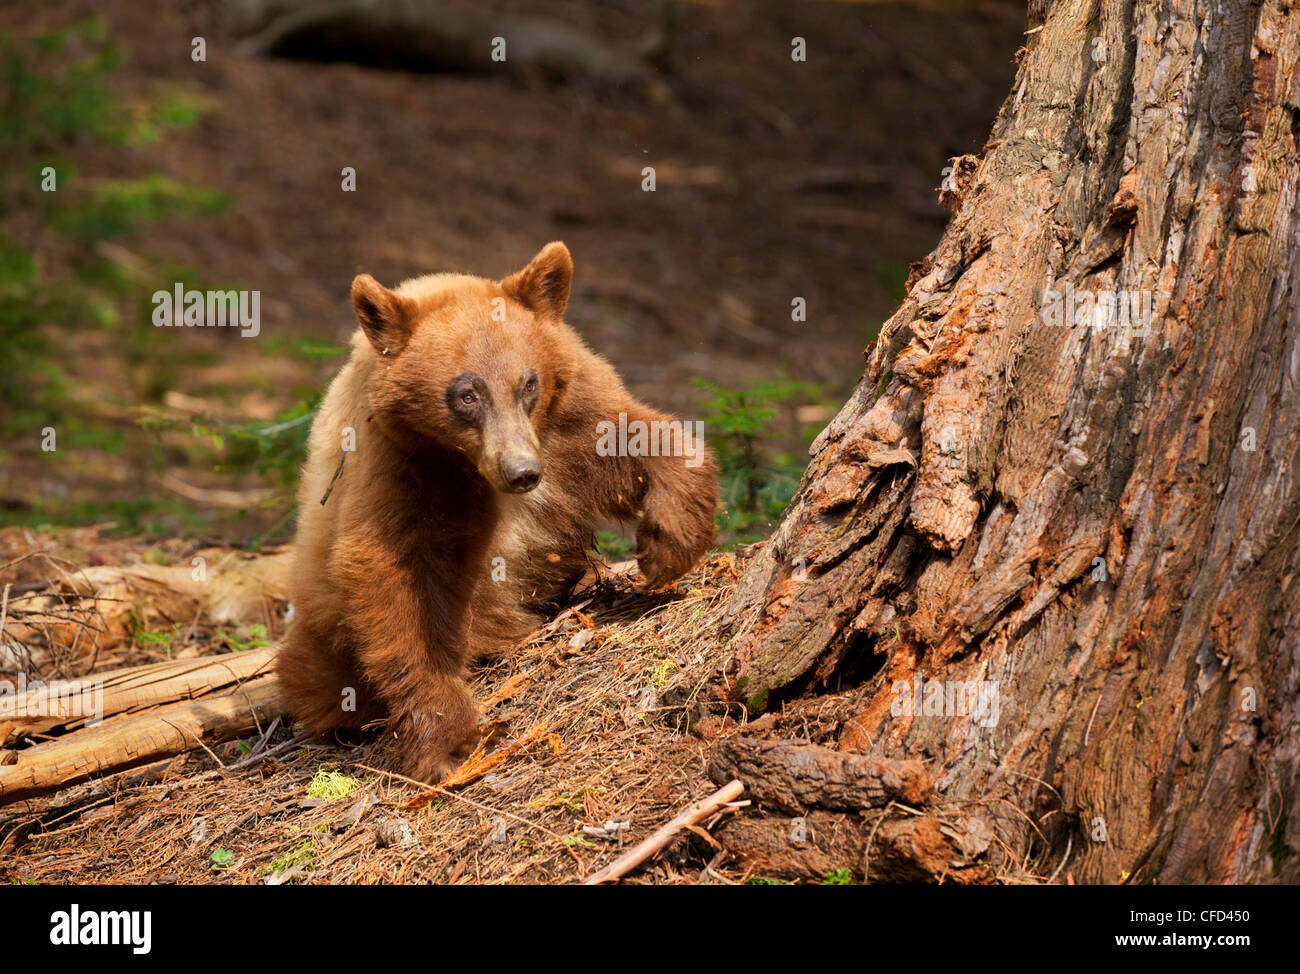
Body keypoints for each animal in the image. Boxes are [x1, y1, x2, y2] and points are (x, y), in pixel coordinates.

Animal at [275, 242, 719, 782]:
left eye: (528, 384)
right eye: (467, 394)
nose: (522, 472)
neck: (467, 465)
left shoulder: (567, 418)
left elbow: (631, 434)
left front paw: (669, 539)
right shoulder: (397, 464)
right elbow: (391, 571)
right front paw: (446, 737)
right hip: (320, 632)